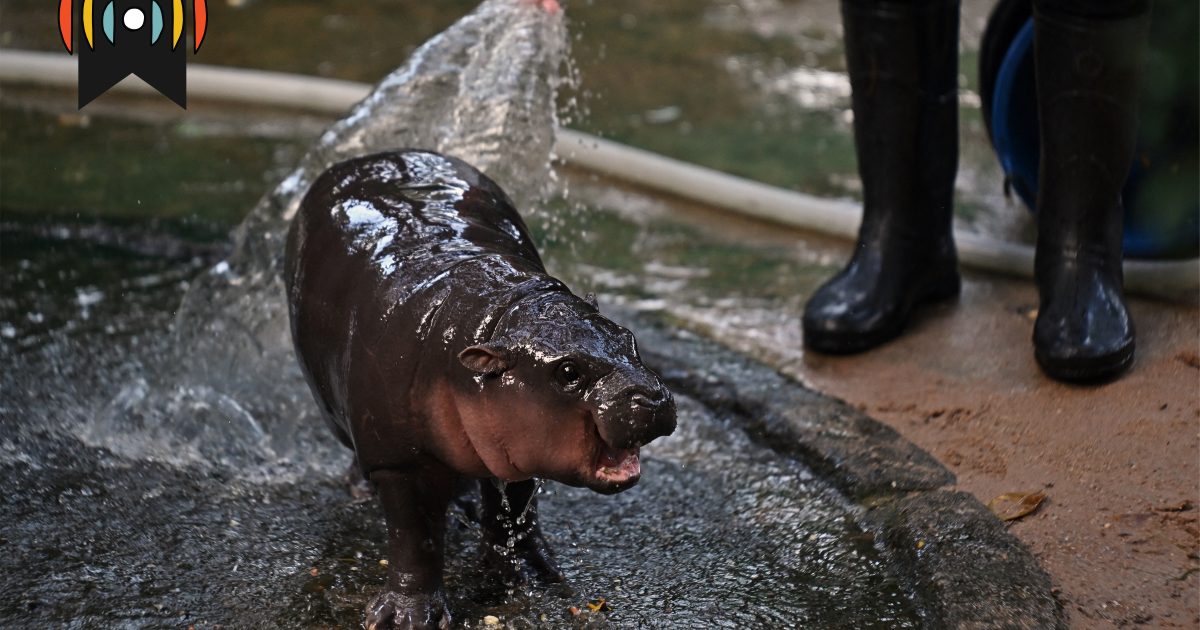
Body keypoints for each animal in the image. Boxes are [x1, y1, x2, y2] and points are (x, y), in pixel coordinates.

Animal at [284, 150, 676, 629]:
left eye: (629, 338)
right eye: (568, 372)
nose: (651, 397)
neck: (495, 315)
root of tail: (374, 156)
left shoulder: (520, 443)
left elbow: (517, 509)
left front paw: (532, 572)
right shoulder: (399, 461)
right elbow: (415, 537)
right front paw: (408, 618)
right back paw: (361, 490)